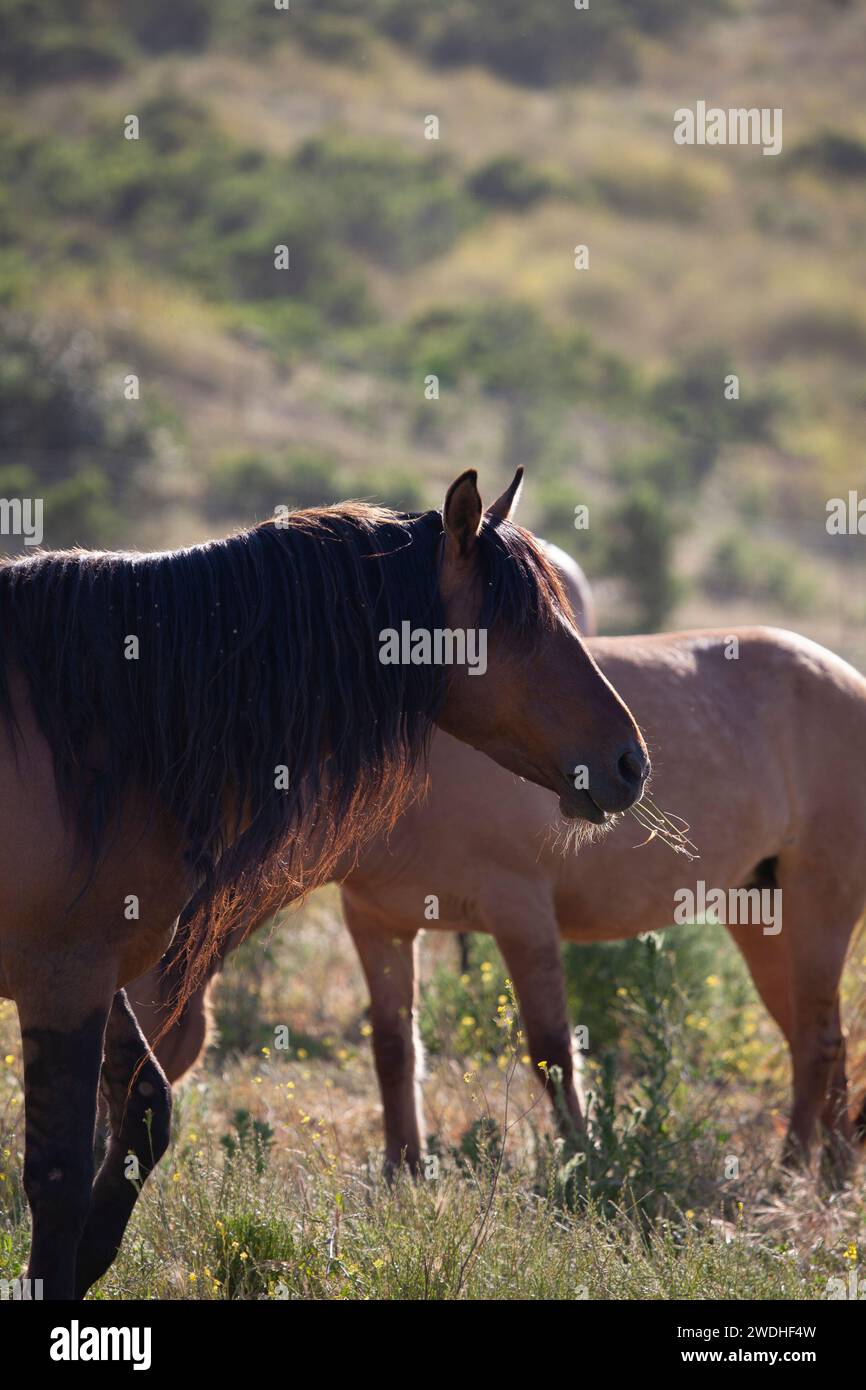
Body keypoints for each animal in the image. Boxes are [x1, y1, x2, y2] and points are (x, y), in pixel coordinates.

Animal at [0, 467, 648, 1298]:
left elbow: (145, 1115)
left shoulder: (96, 973)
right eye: (522, 628)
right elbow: (57, 1178)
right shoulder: (63, 977)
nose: (631, 761)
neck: (102, 730)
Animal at [137, 567, 866, 1186]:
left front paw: (586, 1168)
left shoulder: (520, 913)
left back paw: (790, 1172)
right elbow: (393, 1050)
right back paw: (832, 1170)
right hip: (761, 914)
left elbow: (552, 1053)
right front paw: (405, 1172)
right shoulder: (377, 923)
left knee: (819, 1040)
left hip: (818, 907)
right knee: (815, 1040)